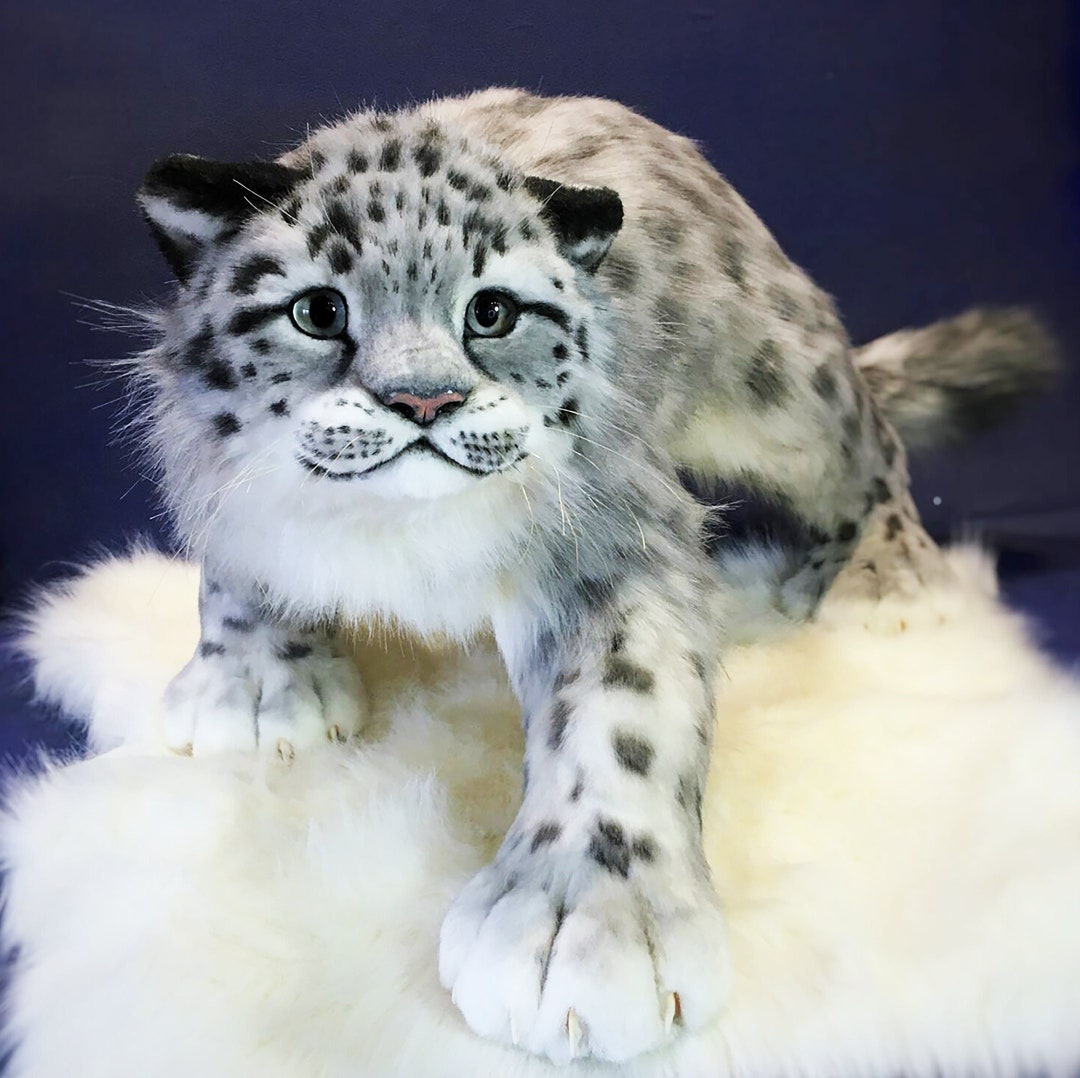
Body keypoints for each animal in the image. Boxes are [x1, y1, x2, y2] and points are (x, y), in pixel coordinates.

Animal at [128, 87, 1054, 1064]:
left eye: (492, 312)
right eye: (317, 311)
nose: (424, 399)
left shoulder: (616, 534)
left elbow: (623, 704)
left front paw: (581, 924)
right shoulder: (230, 491)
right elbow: (236, 562)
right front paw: (255, 693)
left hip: (783, 389)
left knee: (870, 438)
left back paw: (882, 584)